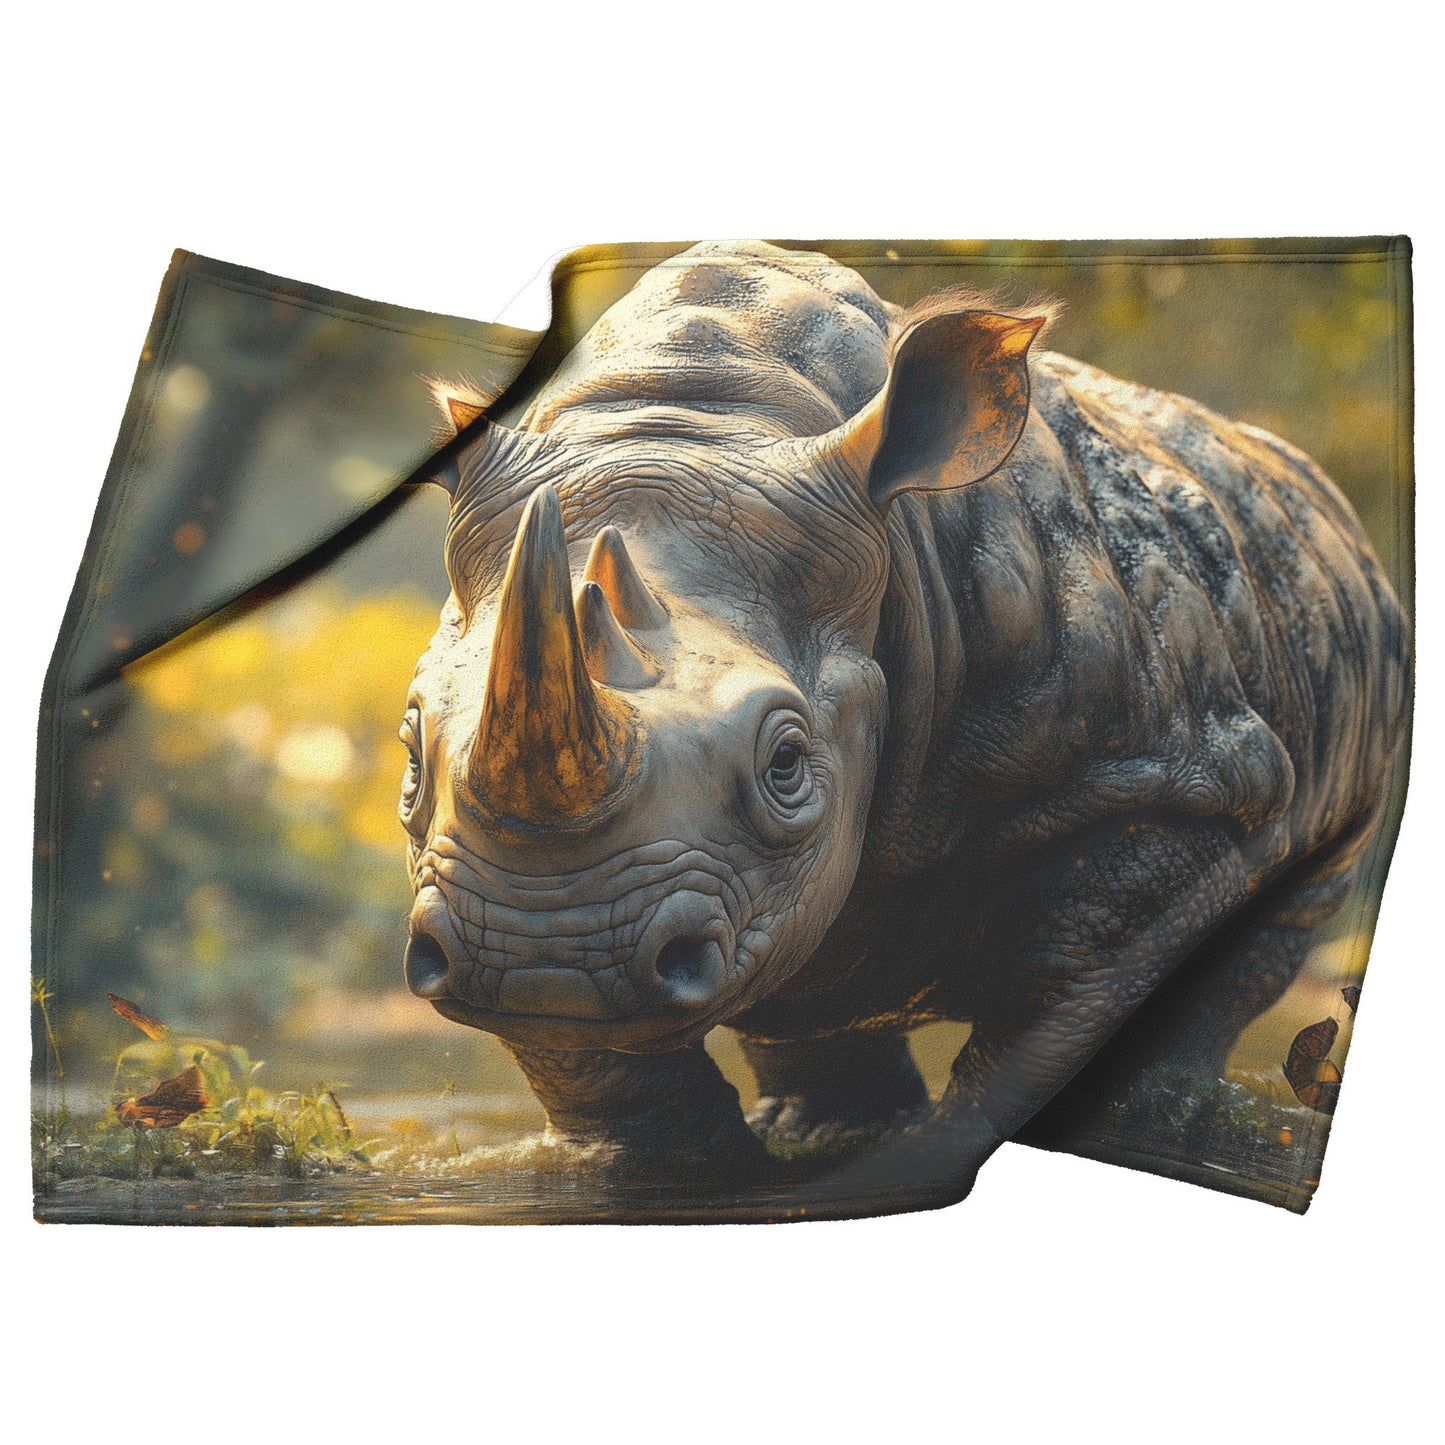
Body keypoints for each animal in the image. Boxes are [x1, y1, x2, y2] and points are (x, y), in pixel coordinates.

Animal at [399, 240, 1409, 1201]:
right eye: (410, 751)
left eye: (787, 763)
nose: (550, 953)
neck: (700, 415)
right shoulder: (499, 870)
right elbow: (595, 1054)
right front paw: (654, 1176)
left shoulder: (1159, 779)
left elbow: (1067, 985)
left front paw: (930, 1151)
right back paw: (818, 1132)